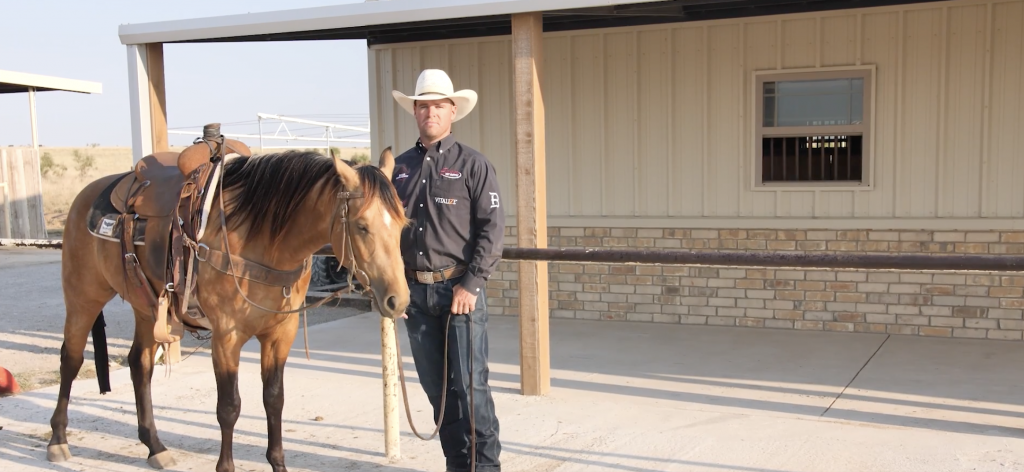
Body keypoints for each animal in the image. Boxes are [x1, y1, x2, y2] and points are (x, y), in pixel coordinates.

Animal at [46, 146, 410, 472]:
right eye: (362, 225)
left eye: (402, 223)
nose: (399, 300)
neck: (262, 240)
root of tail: (87, 195)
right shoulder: (226, 337)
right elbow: (229, 407)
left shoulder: (280, 334)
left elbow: (274, 399)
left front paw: (278, 463)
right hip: (83, 298)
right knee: (71, 360)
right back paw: (58, 440)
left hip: (147, 308)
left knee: (140, 365)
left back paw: (155, 446)